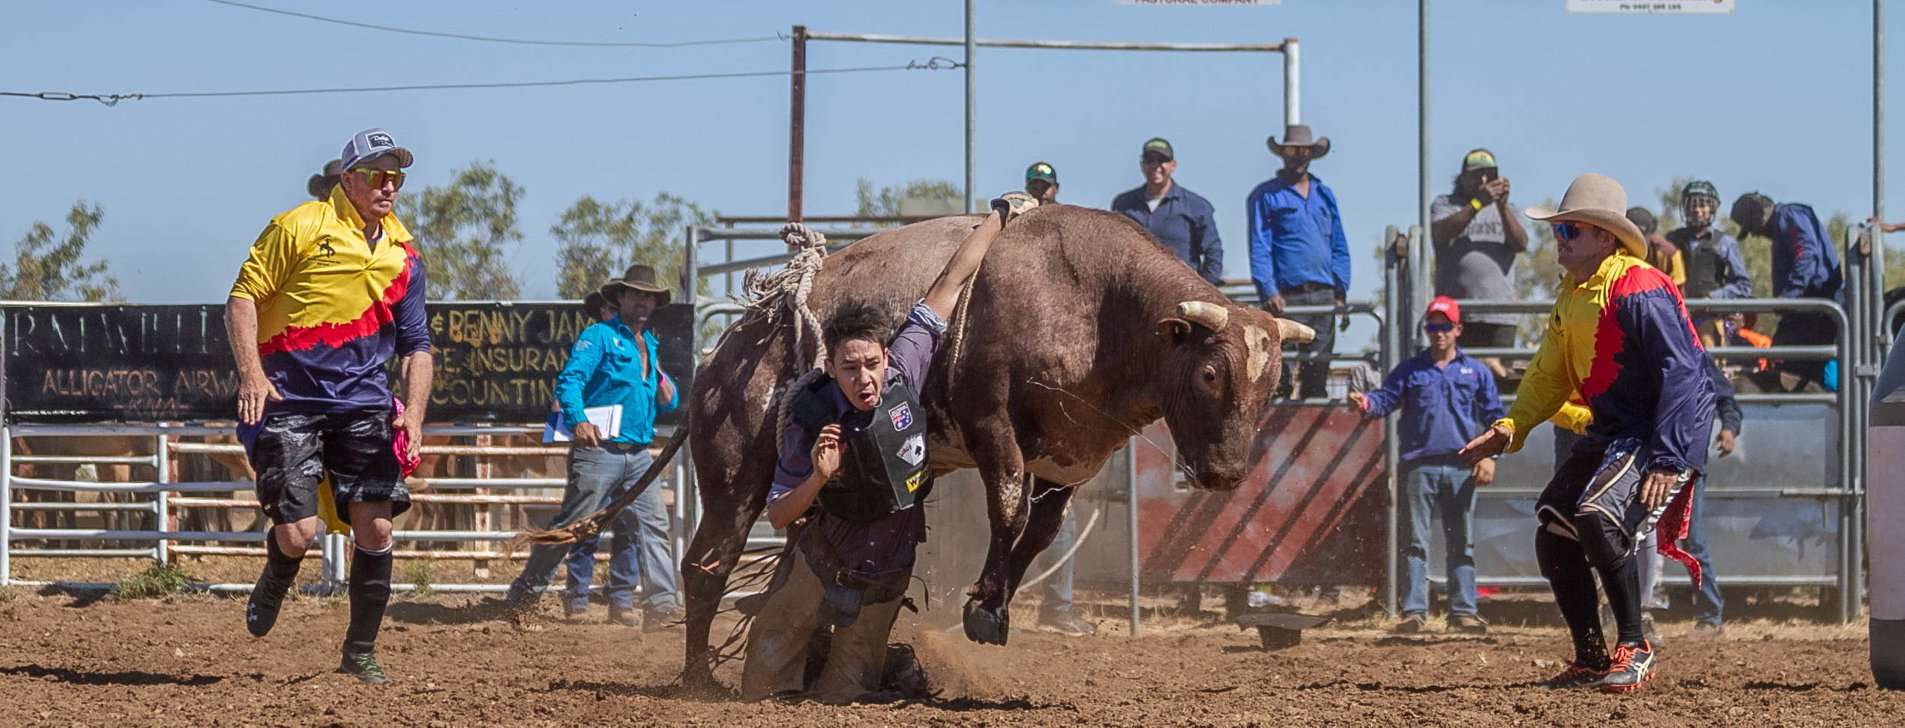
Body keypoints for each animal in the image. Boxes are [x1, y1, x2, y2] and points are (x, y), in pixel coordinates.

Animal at [675, 206, 1311, 686]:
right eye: (1209, 372)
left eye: (1272, 384)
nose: (1227, 473)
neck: (1095, 304)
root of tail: (730, 345)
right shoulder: (991, 425)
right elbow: (1007, 509)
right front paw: (982, 609)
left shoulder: (1069, 458)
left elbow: (1041, 533)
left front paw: (995, 602)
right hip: (735, 472)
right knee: (707, 565)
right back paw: (698, 677)